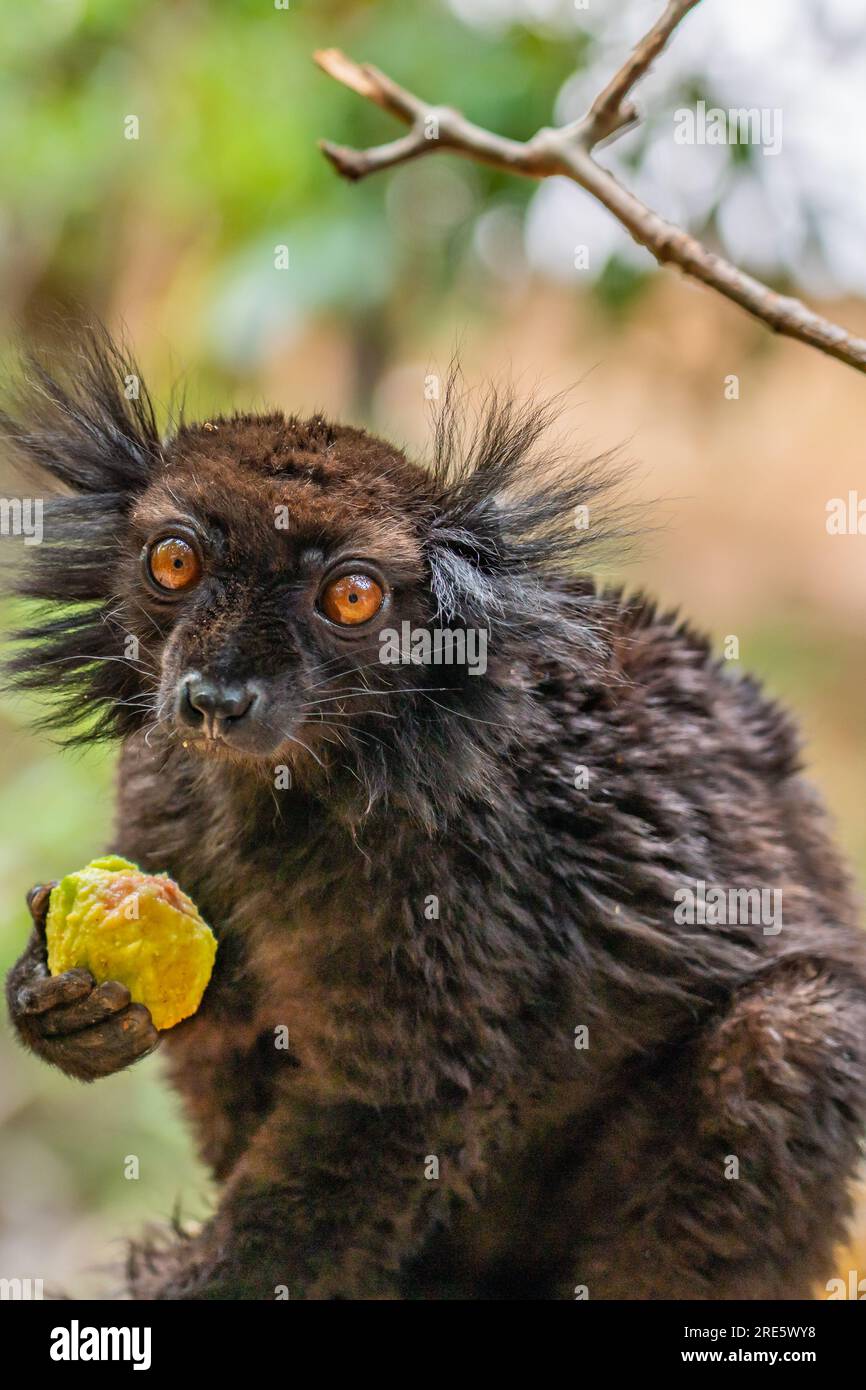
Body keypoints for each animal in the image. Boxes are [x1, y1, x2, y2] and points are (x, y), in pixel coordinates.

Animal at [3, 328, 866, 1300]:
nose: (216, 700)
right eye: (174, 562)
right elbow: (210, 1004)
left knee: (790, 1038)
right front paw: (68, 1006)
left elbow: (403, 1100)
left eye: (352, 596)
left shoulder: (456, 870)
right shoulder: (165, 789)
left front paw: (201, 1284)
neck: (283, 787)